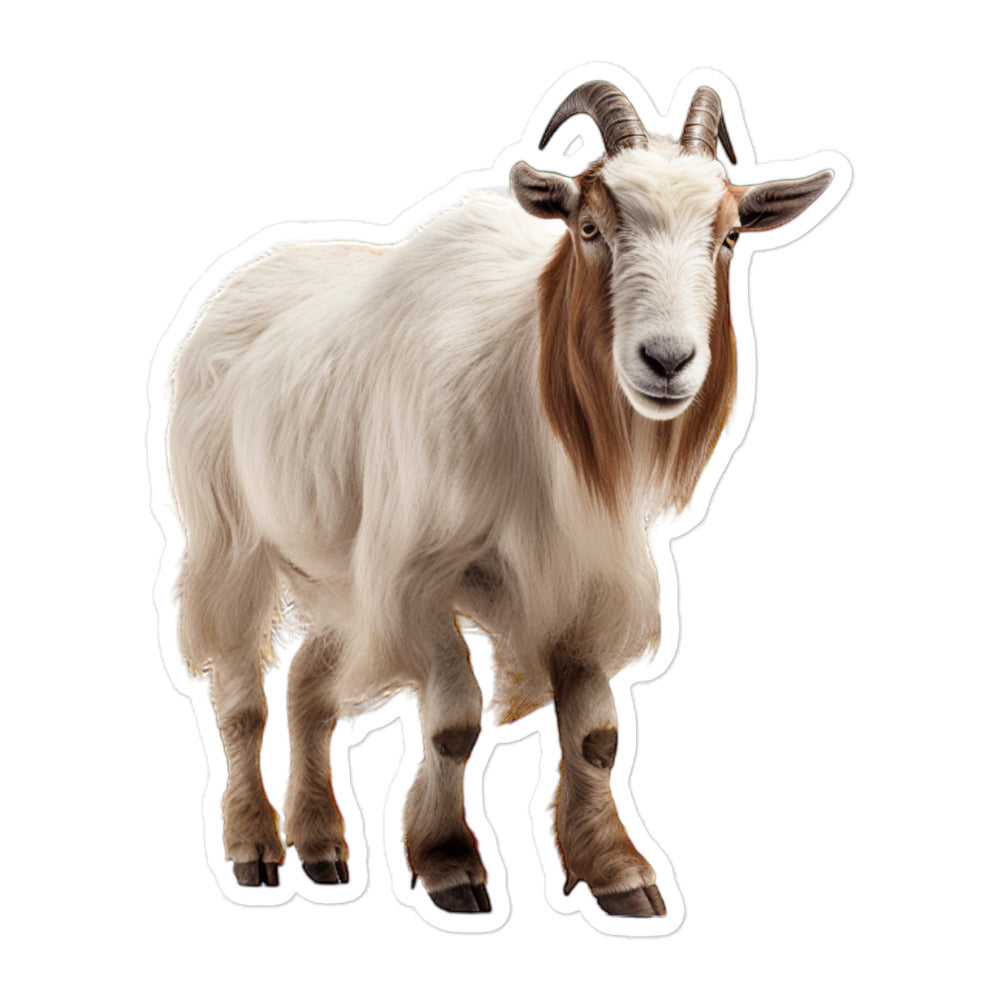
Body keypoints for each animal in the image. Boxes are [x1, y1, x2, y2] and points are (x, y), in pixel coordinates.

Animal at [167, 80, 833, 918]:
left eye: (730, 237)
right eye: (590, 226)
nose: (668, 360)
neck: (533, 412)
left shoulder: (580, 576)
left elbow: (596, 734)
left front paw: (618, 870)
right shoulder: (413, 577)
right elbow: (454, 720)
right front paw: (450, 862)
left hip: (335, 570)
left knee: (307, 689)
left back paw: (320, 847)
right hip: (230, 538)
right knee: (241, 696)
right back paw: (254, 847)